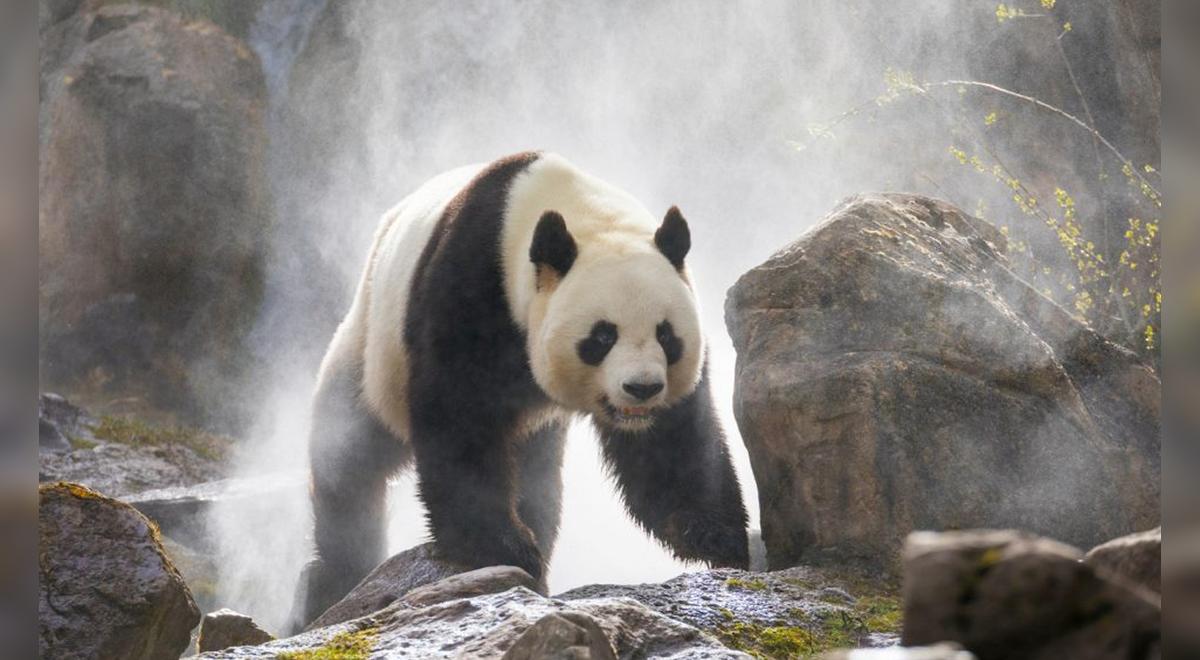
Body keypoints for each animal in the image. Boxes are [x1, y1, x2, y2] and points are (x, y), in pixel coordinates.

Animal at [297, 151, 749, 625]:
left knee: (539, 485)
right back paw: (334, 578)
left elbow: (673, 444)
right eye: (602, 336)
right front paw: (500, 546)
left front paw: (713, 535)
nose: (642, 388)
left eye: (666, 336)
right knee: (349, 460)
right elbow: (458, 417)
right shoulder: (471, 285)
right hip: (373, 355)